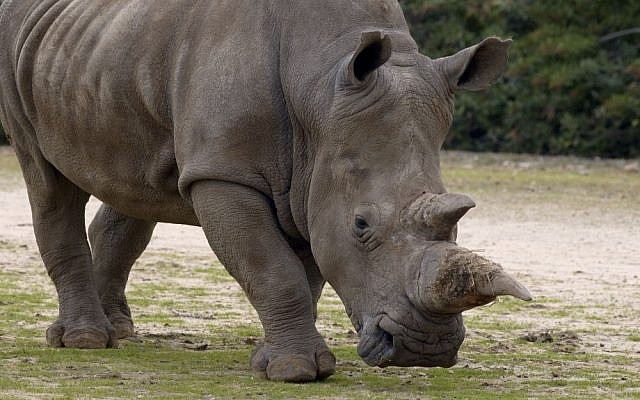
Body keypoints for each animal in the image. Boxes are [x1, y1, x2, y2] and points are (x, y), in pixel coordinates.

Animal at [0, 0, 531, 382]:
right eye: (362, 225)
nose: (425, 349)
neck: (320, 84)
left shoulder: (312, 178)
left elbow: (307, 270)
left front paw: (283, 360)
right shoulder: (223, 172)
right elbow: (274, 269)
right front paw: (294, 372)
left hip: (104, 52)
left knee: (135, 185)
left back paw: (120, 331)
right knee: (46, 180)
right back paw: (86, 341)